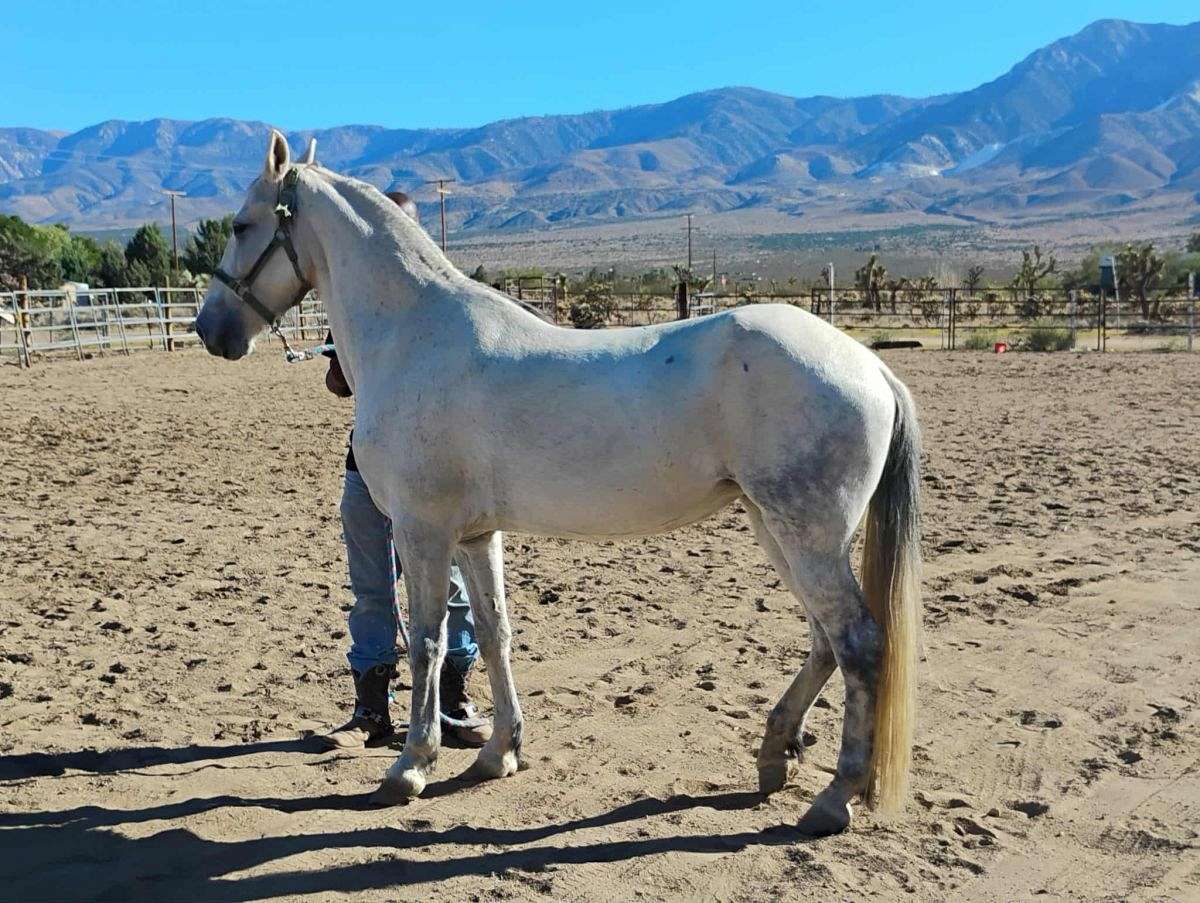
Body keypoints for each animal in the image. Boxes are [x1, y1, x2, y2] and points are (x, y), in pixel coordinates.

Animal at [195, 131, 922, 836]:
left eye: (242, 224)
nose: (209, 330)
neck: (413, 337)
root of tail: (871, 368)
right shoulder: (474, 536)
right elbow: (494, 633)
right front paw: (499, 752)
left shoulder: (422, 530)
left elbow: (428, 641)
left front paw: (411, 767)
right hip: (775, 528)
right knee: (824, 641)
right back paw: (776, 755)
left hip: (807, 537)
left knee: (858, 643)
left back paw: (833, 798)